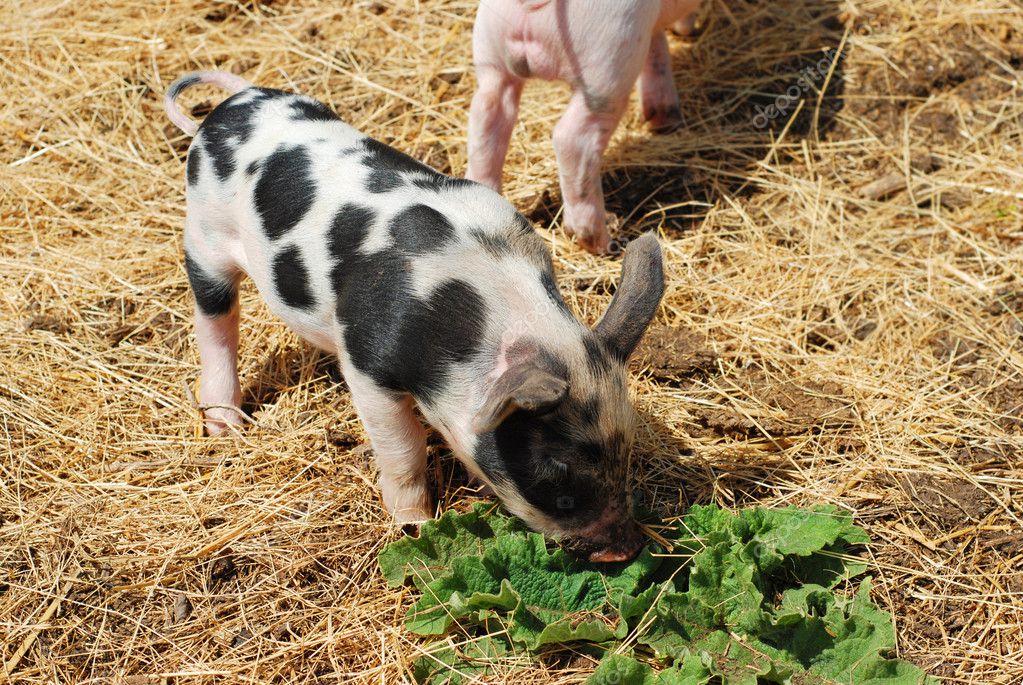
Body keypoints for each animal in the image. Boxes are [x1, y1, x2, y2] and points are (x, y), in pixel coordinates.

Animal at [164, 71, 664, 562]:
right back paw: (225, 429)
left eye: (628, 447)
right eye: (555, 474)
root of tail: (228, 109)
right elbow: (404, 449)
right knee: (214, 321)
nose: (625, 549)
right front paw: (416, 524)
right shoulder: (369, 363)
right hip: (204, 237)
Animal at [467, 0, 701, 254]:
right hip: (607, 63)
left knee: (487, 113)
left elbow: (657, 46)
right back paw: (602, 243)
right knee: (571, 138)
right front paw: (689, 29)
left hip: (491, 51)